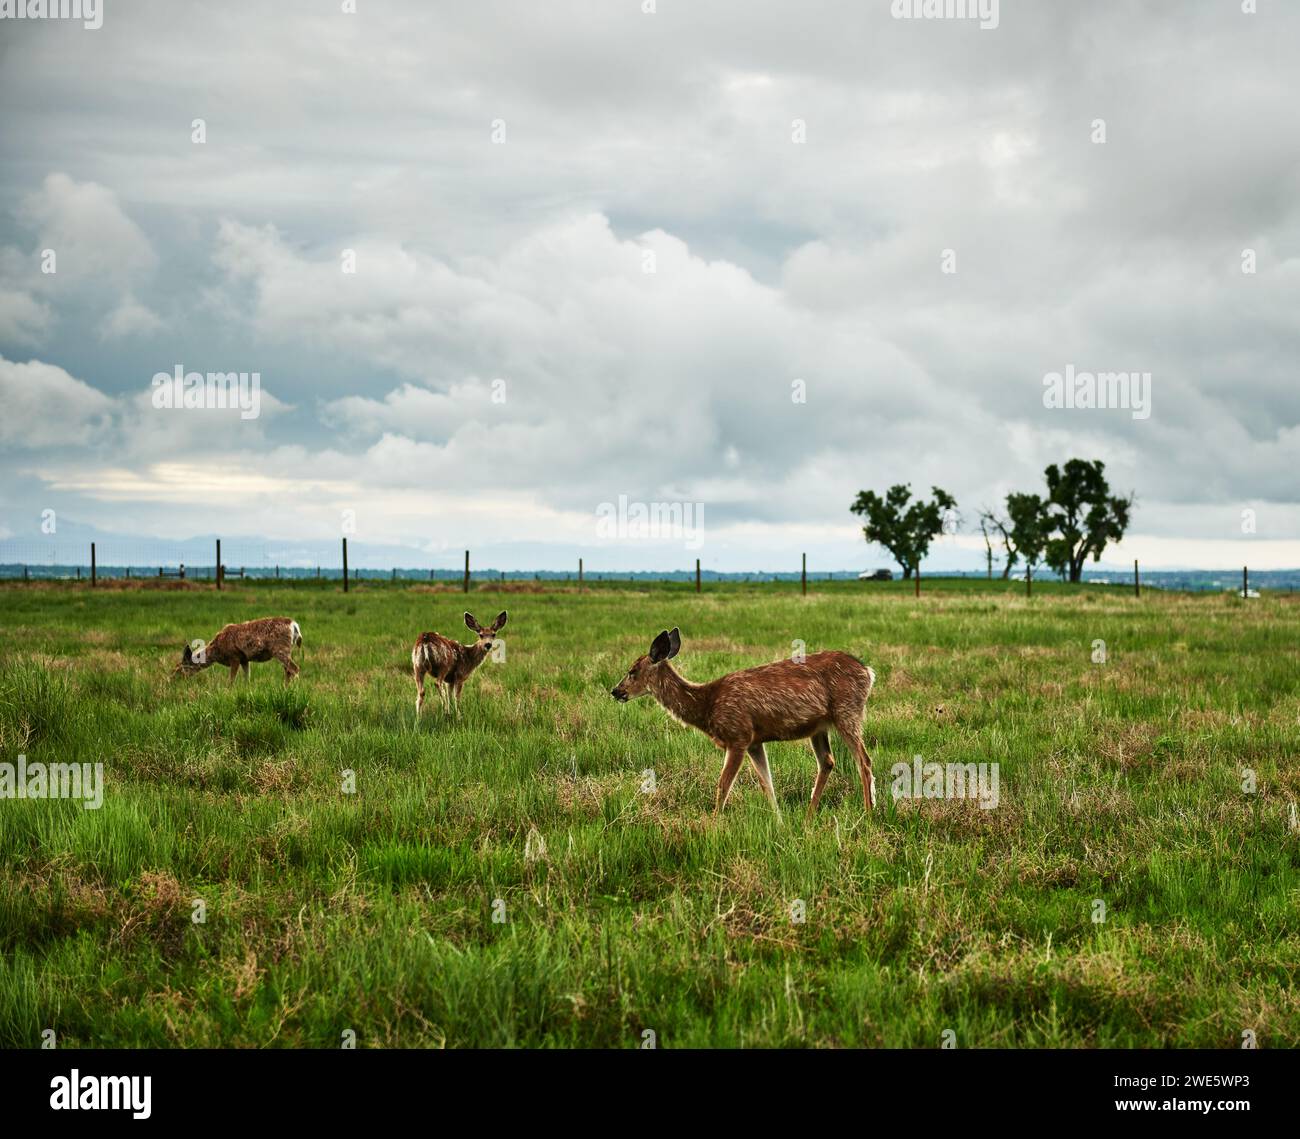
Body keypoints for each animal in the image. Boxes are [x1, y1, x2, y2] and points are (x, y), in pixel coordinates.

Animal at [173, 617, 302, 683]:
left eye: (179, 669)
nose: (172, 680)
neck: (217, 651)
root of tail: (294, 625)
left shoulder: (234, 657)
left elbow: (231, 681)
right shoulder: (244, 659)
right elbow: (247, 678)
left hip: (280, 649)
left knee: (295, 668)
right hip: (286, 651)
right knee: (288, 671)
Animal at [611, 628, 876, 819]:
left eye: (632, 671)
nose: (615, 691)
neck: (707, 705)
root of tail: (868, 672)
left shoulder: (737, 735)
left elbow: (723, 785)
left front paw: (713, 824)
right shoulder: (754, 742)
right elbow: (767, 784)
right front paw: (779, 821)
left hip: (847, 711)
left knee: (863, 760)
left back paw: (868, 812)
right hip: (819, 726)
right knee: (827, 761)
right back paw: (809, 817)